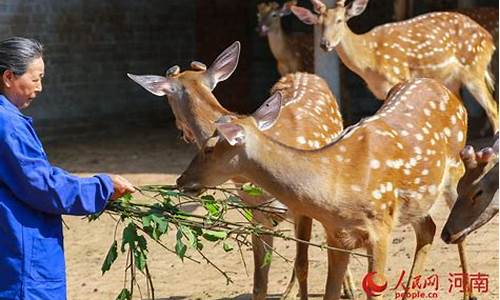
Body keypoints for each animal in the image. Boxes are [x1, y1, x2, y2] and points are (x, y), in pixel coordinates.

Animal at [127, 42, 350, 300]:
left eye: (168, 101)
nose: (182, 132)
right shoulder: (256, 214)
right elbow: (259, 281)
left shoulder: (303, 210)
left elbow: (303, 265)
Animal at [178, 79, 474, 300]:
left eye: (208, 148)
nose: (181, 181)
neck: (337, 187)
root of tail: (448, 92)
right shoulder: (337, 235)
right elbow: (331, 291)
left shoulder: (380, 227)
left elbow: (374, 290)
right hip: (416, 201)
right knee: (428, 229)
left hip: (454, 170)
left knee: (456, 228)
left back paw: (469, 293)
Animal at [292, 0, 498, 132]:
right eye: (318, 23)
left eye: (340, 20)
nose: (324, 44)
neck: (369, 62)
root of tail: (490, 40)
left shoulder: (399, 77)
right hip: (451, 79)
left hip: (474, 67)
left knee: (492, 108)